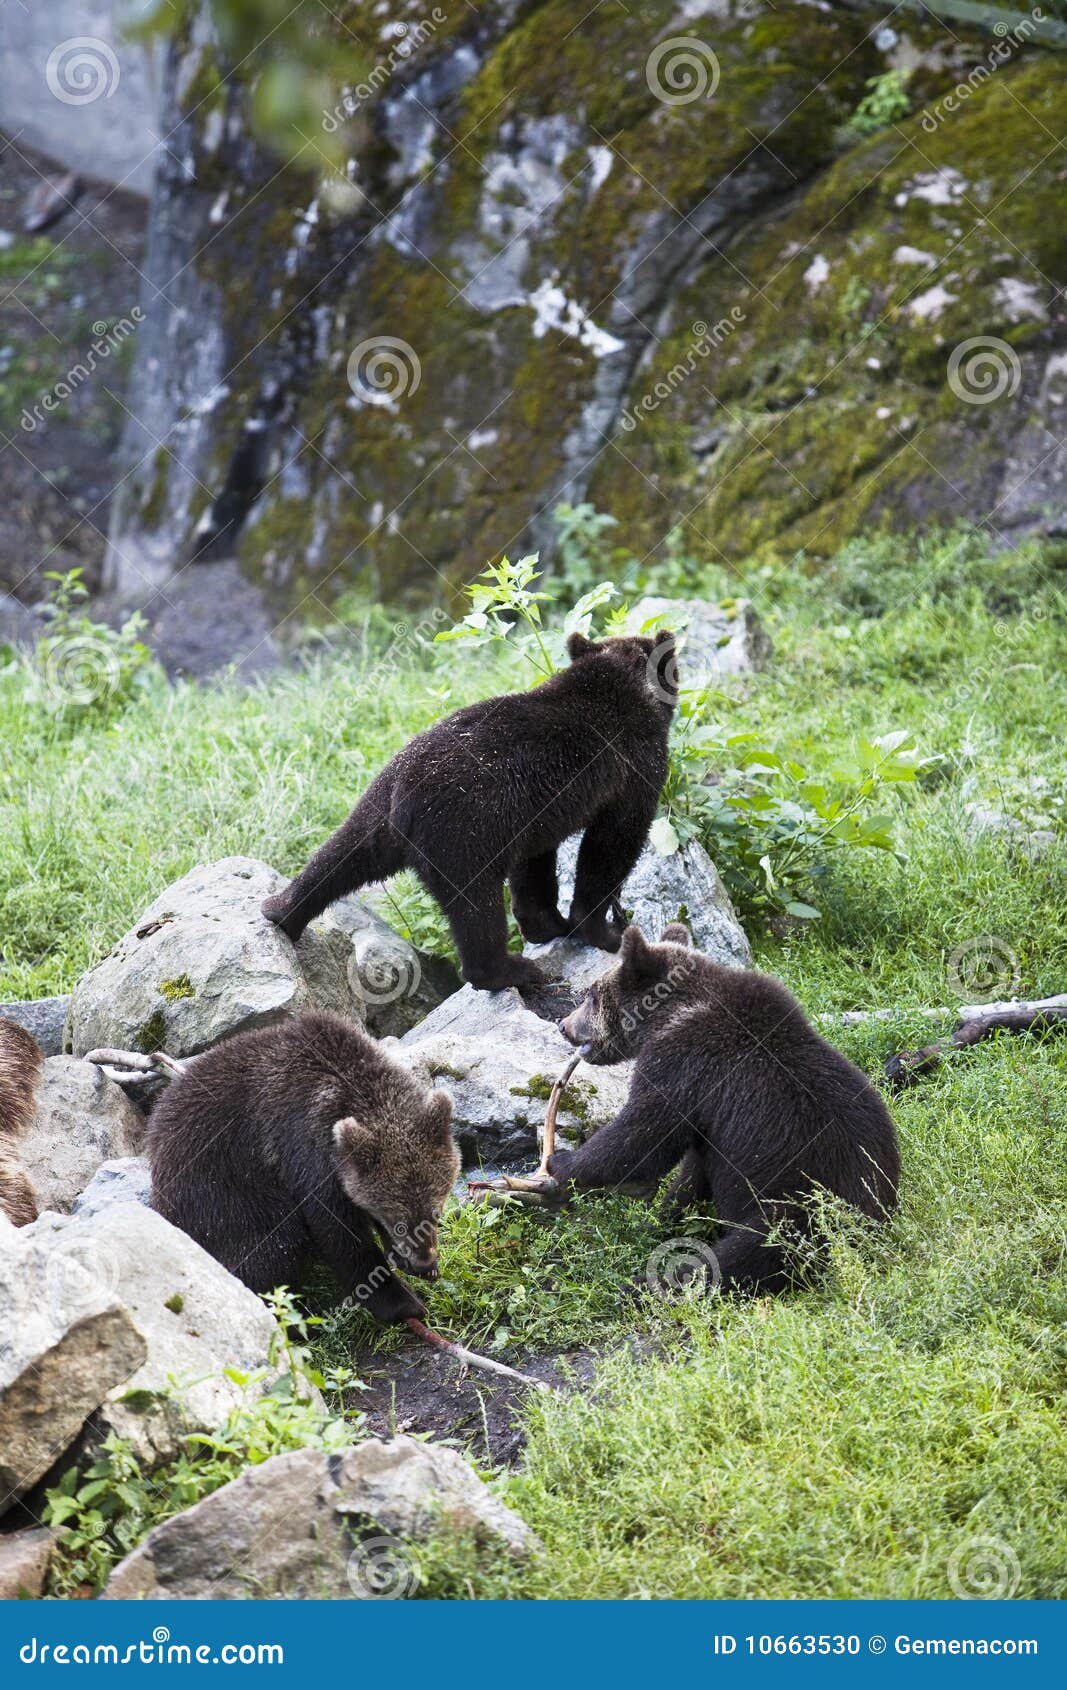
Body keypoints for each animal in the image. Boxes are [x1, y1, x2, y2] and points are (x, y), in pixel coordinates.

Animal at [148, 1011, 460, 1323]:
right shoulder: (305, 1152)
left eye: (436, 1212)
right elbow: (338, 1234)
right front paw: (402, 1301)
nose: (424, 1260)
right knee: (268, 1248)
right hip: (221, 1193)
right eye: (398, 1223)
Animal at [262, 631, 678, 993]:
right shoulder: (635, 764)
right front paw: (604, 930)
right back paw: (509, 970)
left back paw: (280, 910)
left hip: (376, 805)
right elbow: (613, 841)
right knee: (476, 907)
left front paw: (547, 923)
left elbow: (535, 862)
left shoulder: (536, 807)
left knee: (339, 855)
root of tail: (403, 802)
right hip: (464, 832)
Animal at [548, 925, 899, 1292]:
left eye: (591, 994)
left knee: (751, 1252)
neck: (668, 1016)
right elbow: (690, 1176)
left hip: (803, 1202)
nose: (564, 1024)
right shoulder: (711, 1123)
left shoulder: (685, 1068)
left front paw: (564, 1162)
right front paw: (664, 1217)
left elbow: (644, 1135)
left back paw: (648, 1285)